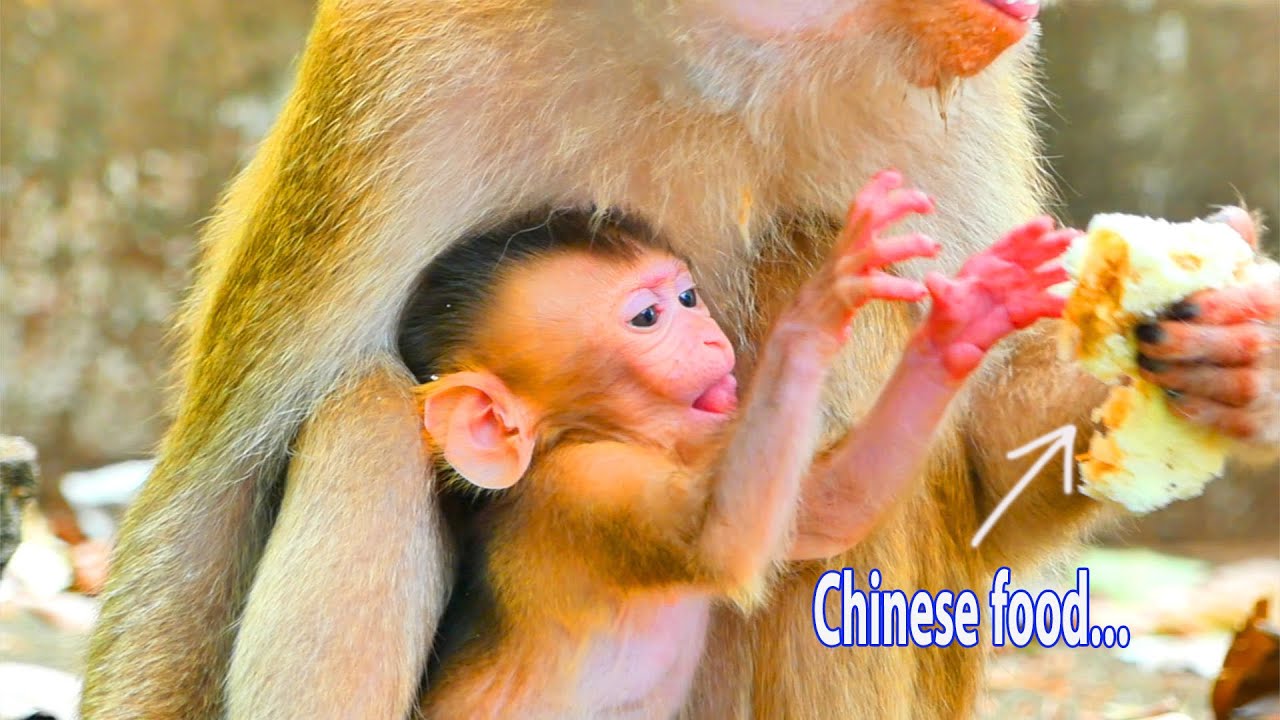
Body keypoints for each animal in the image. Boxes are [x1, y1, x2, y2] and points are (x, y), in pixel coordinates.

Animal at [407, 174, 1074, 718]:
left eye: (688, 298)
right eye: (648, 317)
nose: (709, 338)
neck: (588, 435)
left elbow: (828, 508)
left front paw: (958, 326)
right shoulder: (588, 487)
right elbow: (721, 541)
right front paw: (818, 306)